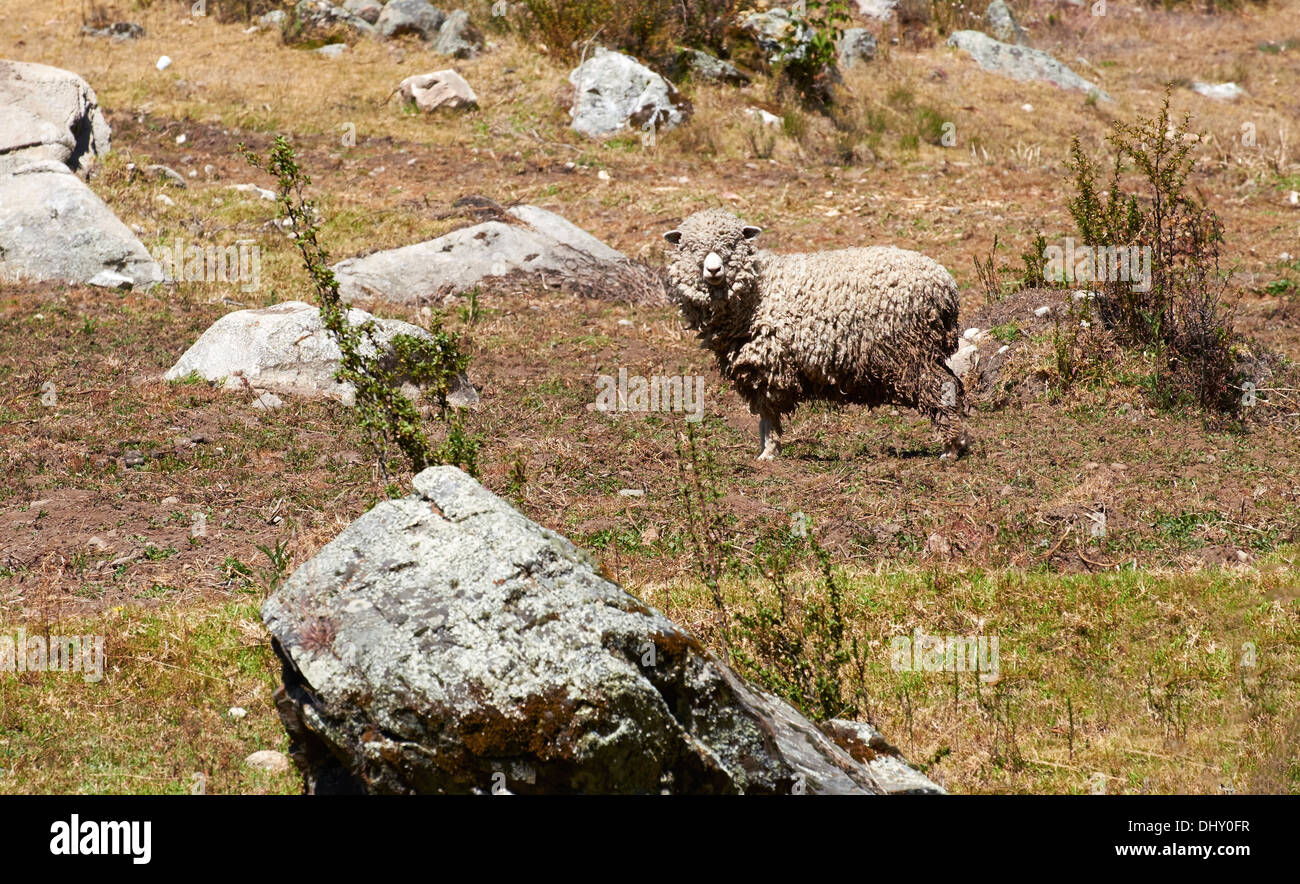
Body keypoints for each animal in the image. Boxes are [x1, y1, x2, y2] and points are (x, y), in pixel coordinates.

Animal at [662, 209, 969, 460]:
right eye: (690, 248)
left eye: (732, 244)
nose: (713, 269)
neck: (757, 290)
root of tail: (947, 286)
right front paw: (767, 450)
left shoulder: (769, 364)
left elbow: (768, 414)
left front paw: (769, 453)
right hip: (927, 351)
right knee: (954, 384)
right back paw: (960, 441)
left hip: (912, 351)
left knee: (942, 388)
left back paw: (950, 448)